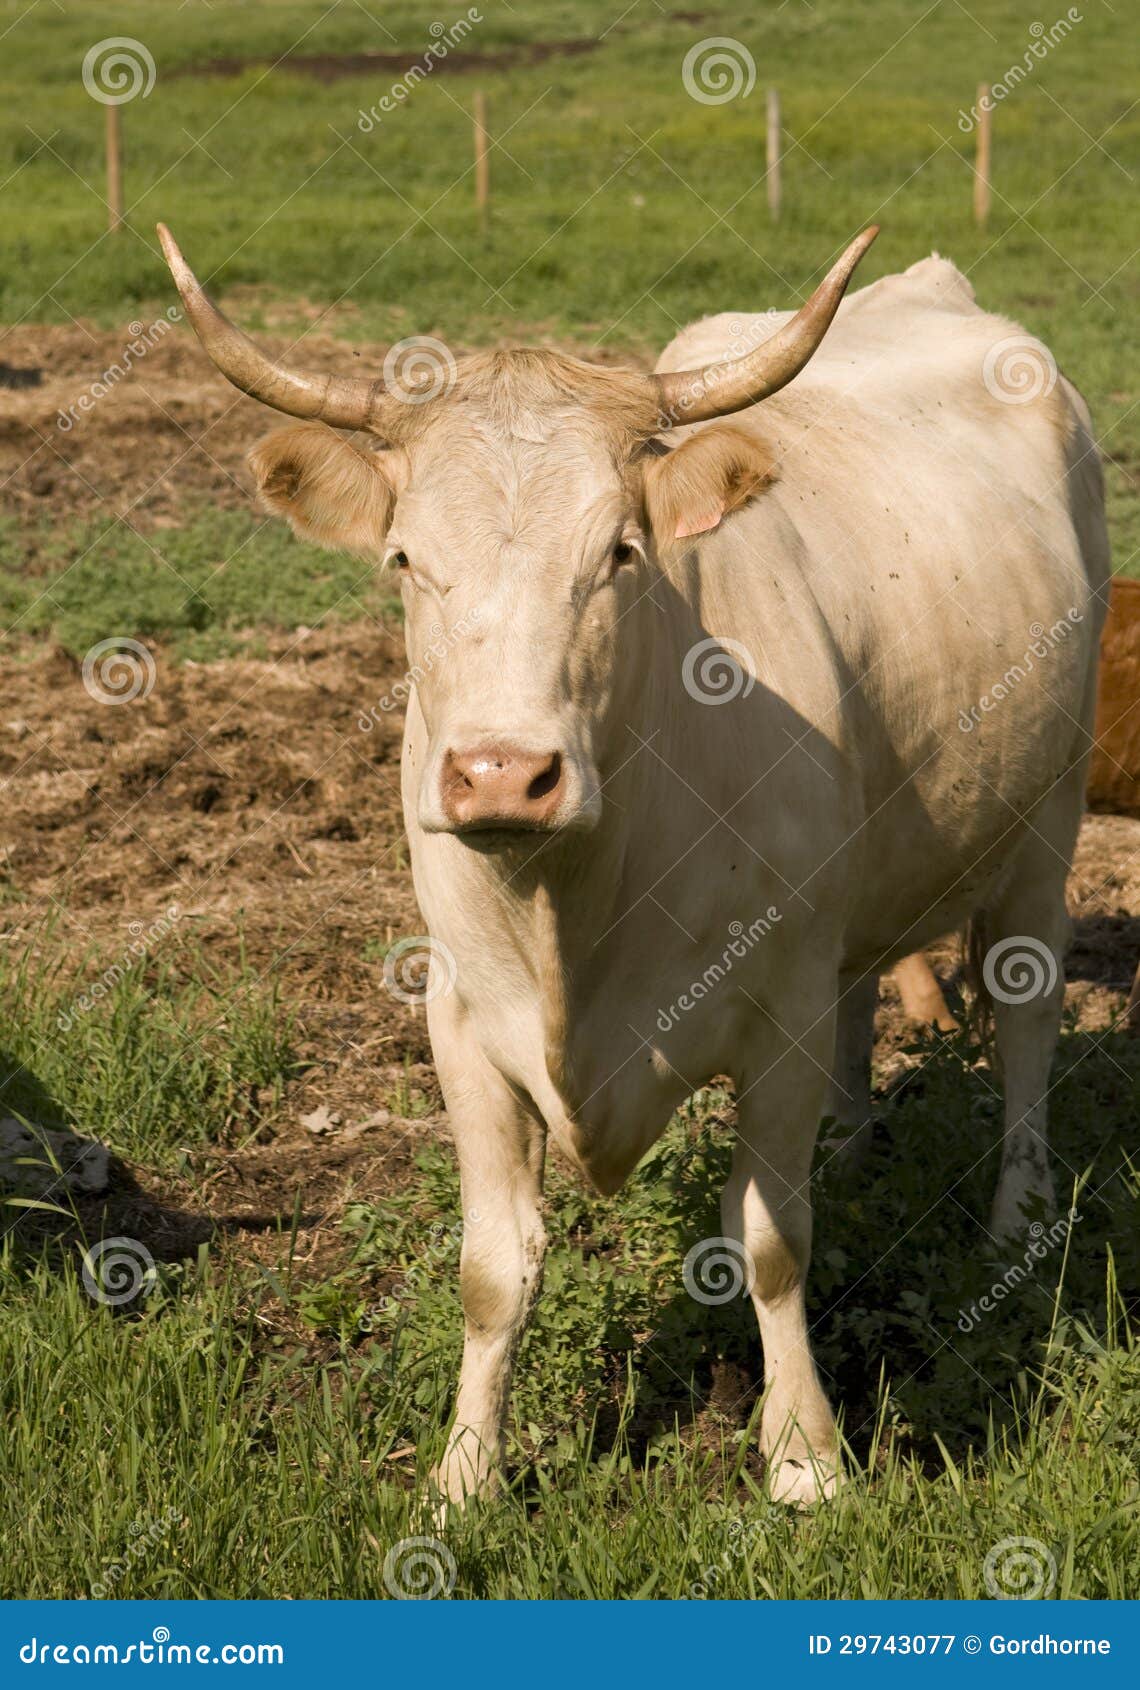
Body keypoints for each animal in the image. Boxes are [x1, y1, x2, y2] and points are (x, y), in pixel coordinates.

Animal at [159, 224, 1108, 1507]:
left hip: (1047, 815)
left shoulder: (779, 1011)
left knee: (1024, 1006)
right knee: (869, 988)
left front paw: (806, 1457)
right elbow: (493, 1268)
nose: (502, 773)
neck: (572, 907)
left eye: (618, 551)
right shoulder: (463, 1021)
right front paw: (465, 1476)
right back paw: (855, 1146)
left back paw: (1015, 1215)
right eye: (404, 558)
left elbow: (772, 1240)